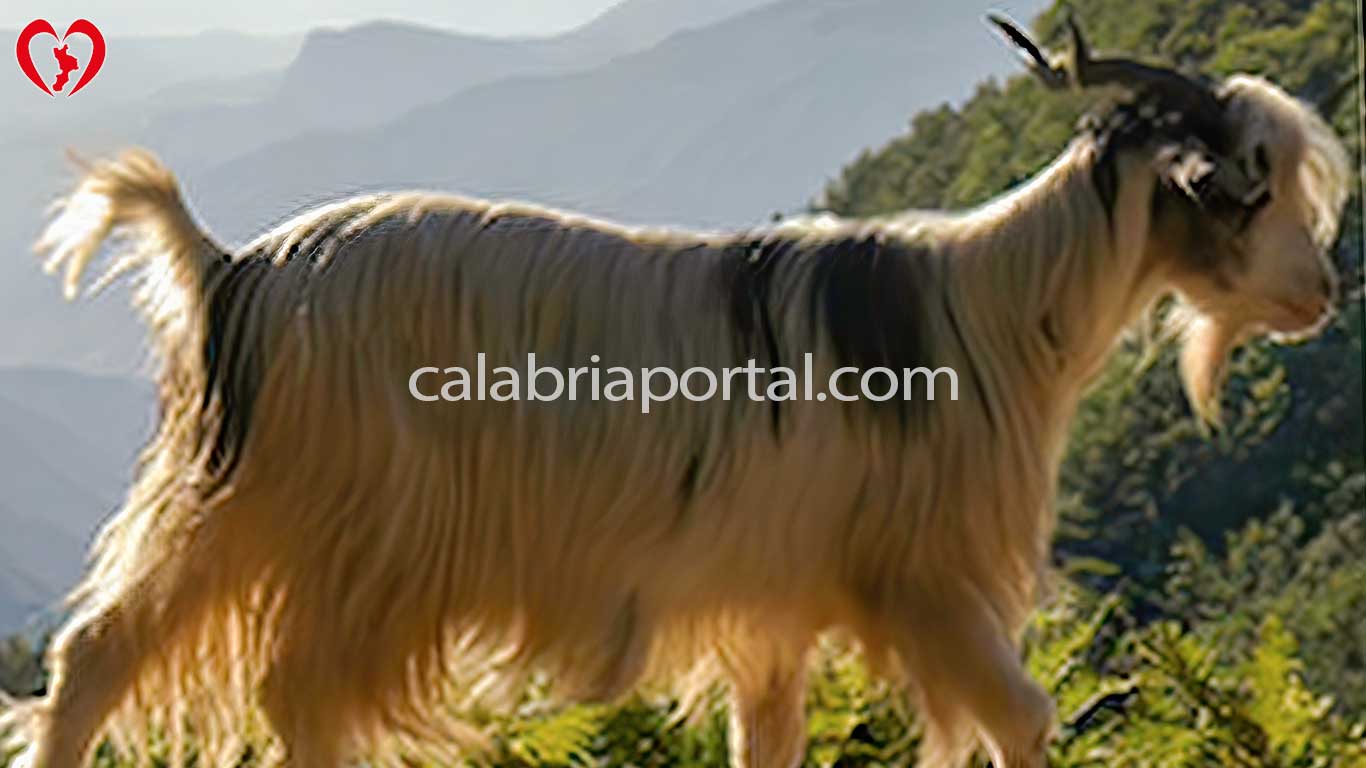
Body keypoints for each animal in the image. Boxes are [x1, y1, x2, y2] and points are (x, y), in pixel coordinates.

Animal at [2, 16, 1349, 768]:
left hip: (244, 505)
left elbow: (774, 743)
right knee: (256, 686)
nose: (1323, 292)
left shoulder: (774, 610)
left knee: (127, 658)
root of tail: (233, 268)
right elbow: (1022, 723)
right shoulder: (920, 582)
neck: (993, 306)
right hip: (333, 517)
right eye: (1243, 184)